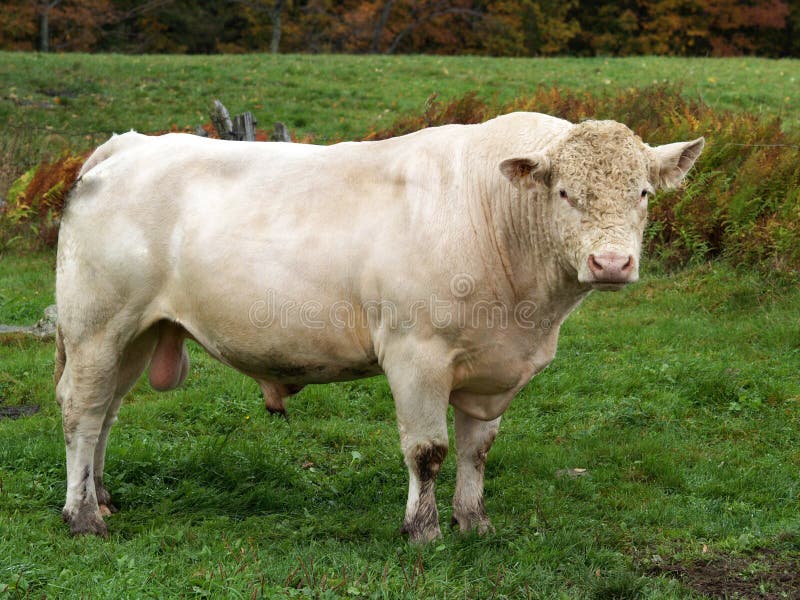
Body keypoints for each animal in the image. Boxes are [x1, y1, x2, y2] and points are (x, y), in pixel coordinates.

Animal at [55, 112, 704, 542]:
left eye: (644, 192)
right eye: (566, 193)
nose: (612, 263)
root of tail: (128, 144)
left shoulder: (491, 369)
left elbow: (478, 449)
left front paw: (475, 521)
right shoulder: (418, 354)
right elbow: (428, 450)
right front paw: (424, 530)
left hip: (137, 334)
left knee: (108, 411)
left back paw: (101, 498)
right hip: (96, 326)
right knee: (82, 411)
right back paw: (82, 516)